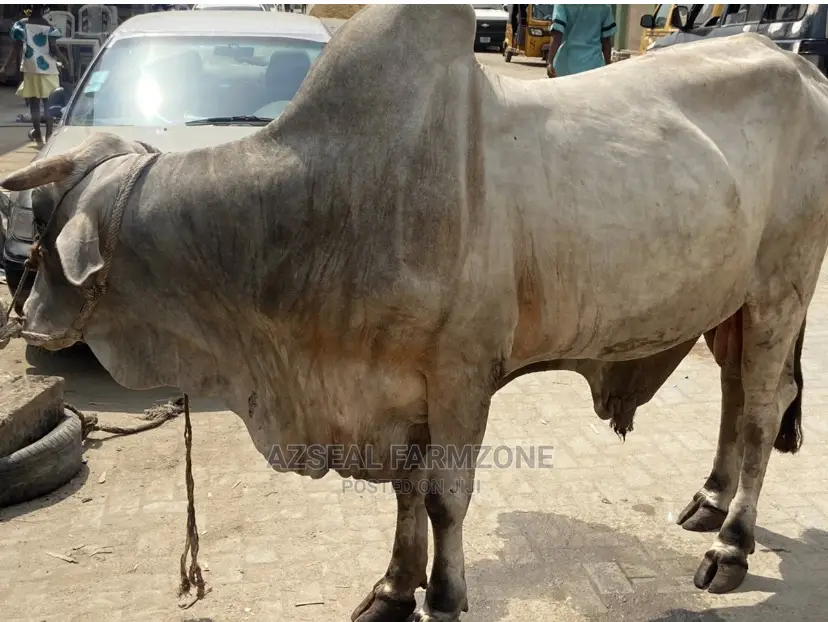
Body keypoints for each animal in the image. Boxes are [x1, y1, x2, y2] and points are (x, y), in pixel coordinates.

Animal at [0, 5, 823, 620]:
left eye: (47, 237)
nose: (27, 315)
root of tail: (800, 67)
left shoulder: (461, 376)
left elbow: (444, 497)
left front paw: (445, 595)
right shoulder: (398, 389)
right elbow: (404, 489)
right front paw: (396, 587)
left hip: (783, 287)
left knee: (763, 408)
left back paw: (731, 546)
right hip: (730, 304)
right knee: (736, 393)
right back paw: (709, 501)